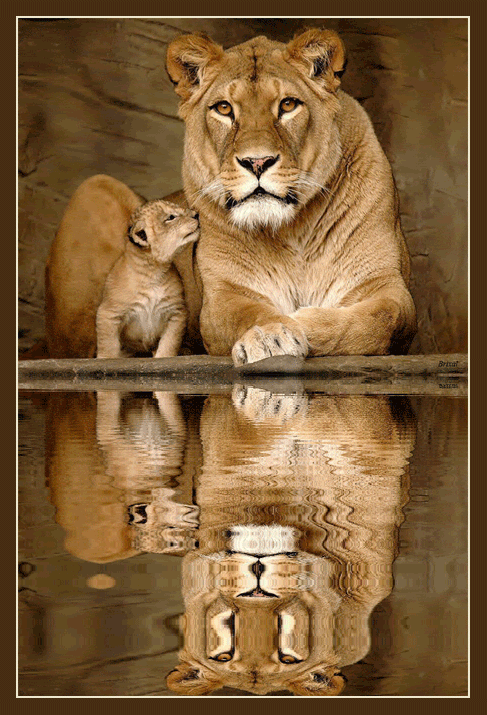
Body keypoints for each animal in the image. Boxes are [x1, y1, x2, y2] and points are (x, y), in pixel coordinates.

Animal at [96, 200, 199, 358]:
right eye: (171, 217)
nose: (196, 214)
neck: (153, 272)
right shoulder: (108, 312)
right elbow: (108, 344)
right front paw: (105, 359)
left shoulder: (177, 312)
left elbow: (170, 341)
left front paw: (163, 356)